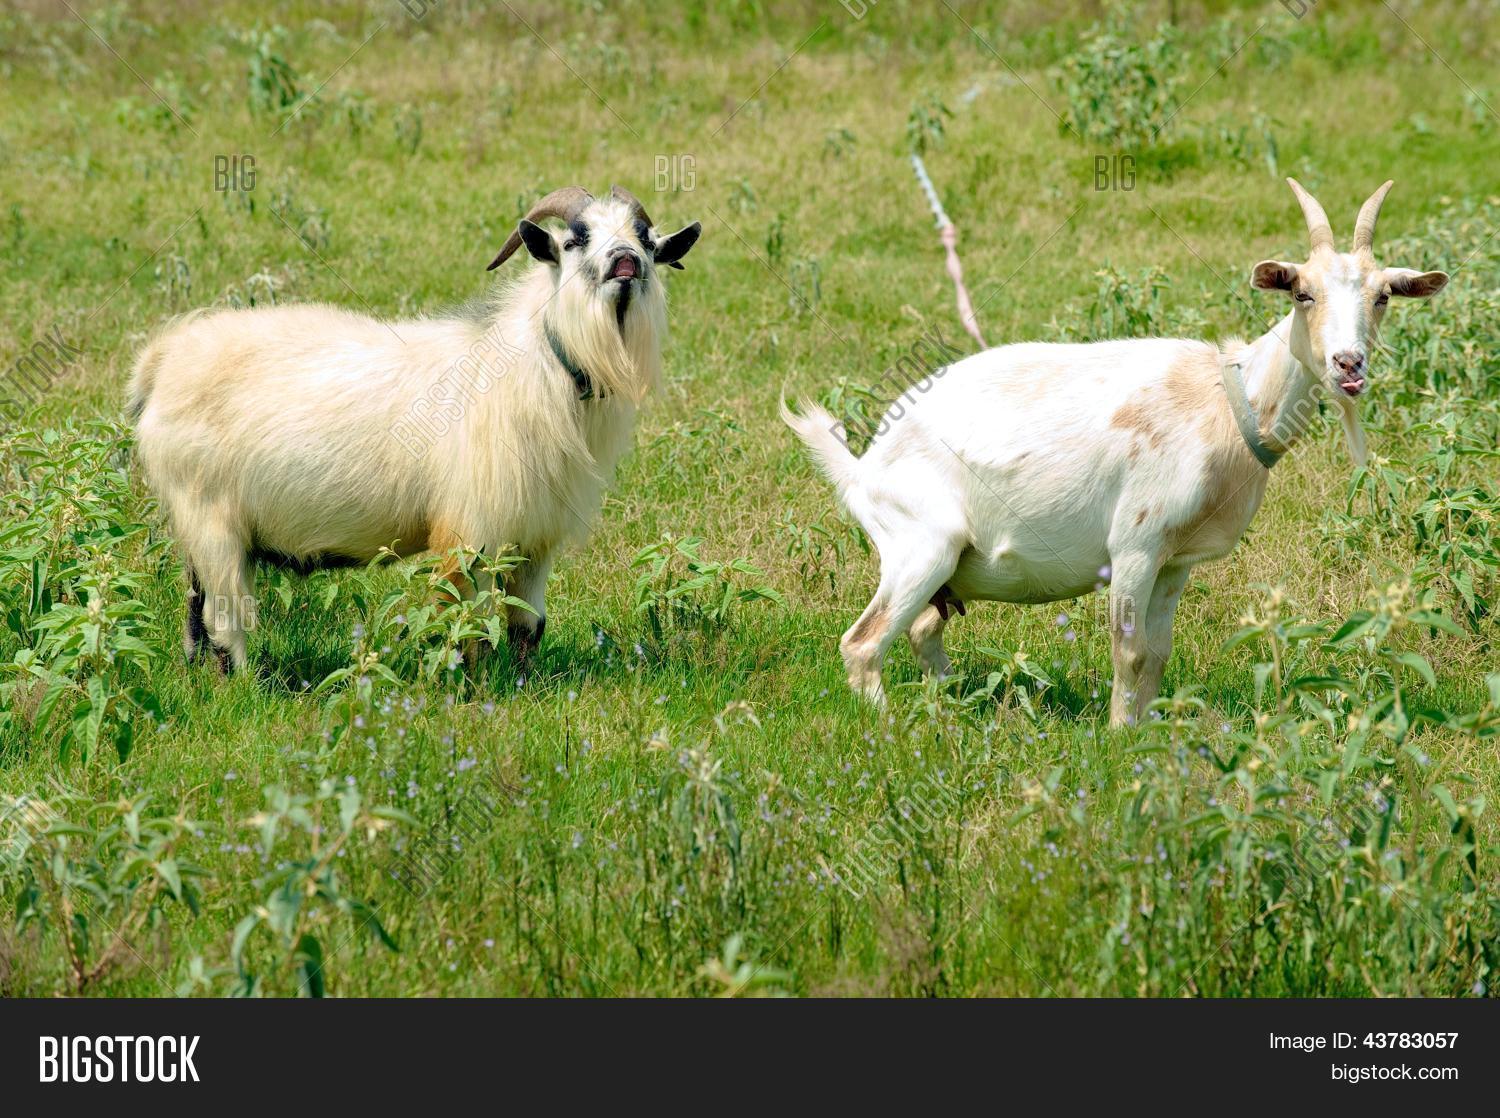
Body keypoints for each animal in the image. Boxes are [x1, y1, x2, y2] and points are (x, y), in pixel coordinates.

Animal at [130, 184, 701, 672]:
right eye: (575, 238)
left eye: (645, 237)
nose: (625, 259)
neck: (537, 366)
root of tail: (162, 360)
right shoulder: (468, 532)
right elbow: (467, 626)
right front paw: (469, 693)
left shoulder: (536, 540)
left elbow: (527, 626)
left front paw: (520, 685)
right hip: (210, 516)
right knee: (224, 620)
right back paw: (248, 689)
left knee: (195, 605)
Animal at [784, 179, 1447, 726]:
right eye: (1302, 293)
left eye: (1383, 296)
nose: (1348, 365)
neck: (1226, 401)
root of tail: (863, 467)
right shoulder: (1135, 543)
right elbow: (1128, 652)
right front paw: (1119, 739)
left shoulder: (1176, 561)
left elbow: (1156, 654)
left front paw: (1147, 732)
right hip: (920, 543)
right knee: (863, 642)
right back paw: (892, 729)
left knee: (922, 630)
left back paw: (955, 710)